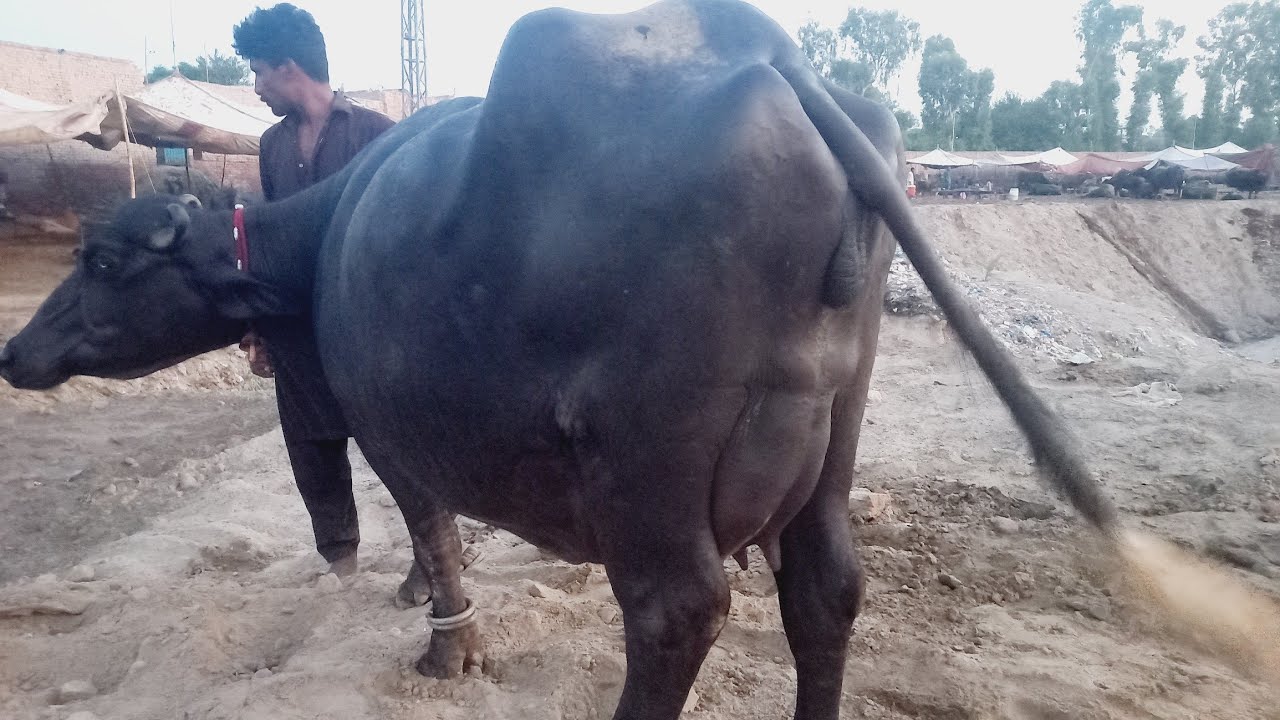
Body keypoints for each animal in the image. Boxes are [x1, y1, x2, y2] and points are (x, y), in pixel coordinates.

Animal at [0, 1, 1121, 717]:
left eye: (103, 260)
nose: (16, 350)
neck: (323, 241)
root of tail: (777, 62)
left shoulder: (392, 430)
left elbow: (434, 530)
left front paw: (445, 642)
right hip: (835, 435)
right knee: (825, 587)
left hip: (647, 460)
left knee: (674, 612)